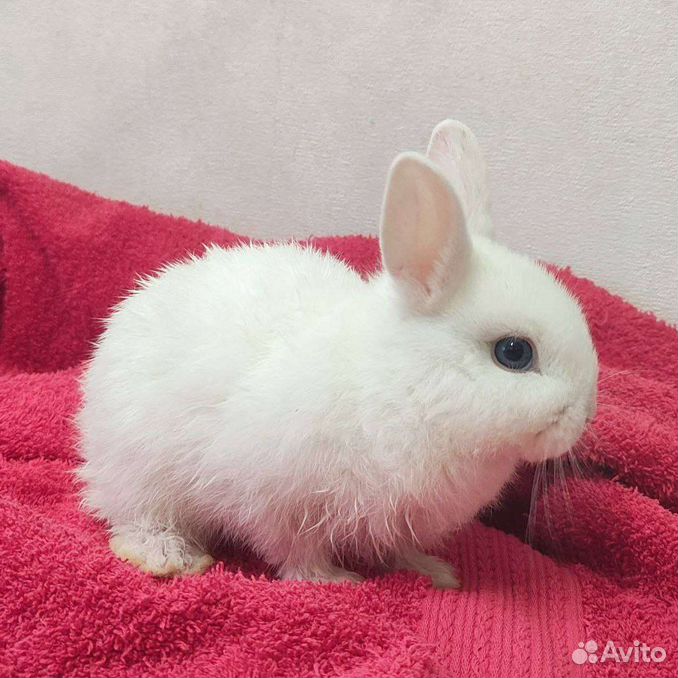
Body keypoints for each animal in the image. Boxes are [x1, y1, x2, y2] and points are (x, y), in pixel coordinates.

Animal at [77, 120, 598, 588]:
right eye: (514, 352)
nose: (584, 416)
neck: (402, 387)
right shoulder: (276, 496)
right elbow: (294, 548)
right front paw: (332, 580)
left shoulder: (402, 518)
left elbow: (396, 547)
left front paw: (434, 574)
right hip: (140, 470)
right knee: (133, 514)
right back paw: (168, 556)